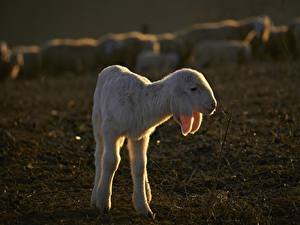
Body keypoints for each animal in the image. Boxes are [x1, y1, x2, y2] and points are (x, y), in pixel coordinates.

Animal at [90, 64, 217, 216]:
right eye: (193, 88)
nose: (213, 105)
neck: (143, 102)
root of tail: (113, 66)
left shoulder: (141, 136)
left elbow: (140, 166)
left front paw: (143, 207)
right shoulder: (110, 130)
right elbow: (111, 161)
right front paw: (103, 202)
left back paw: (147, 192)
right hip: (98, 121)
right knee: (99, 156)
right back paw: (95, 194)